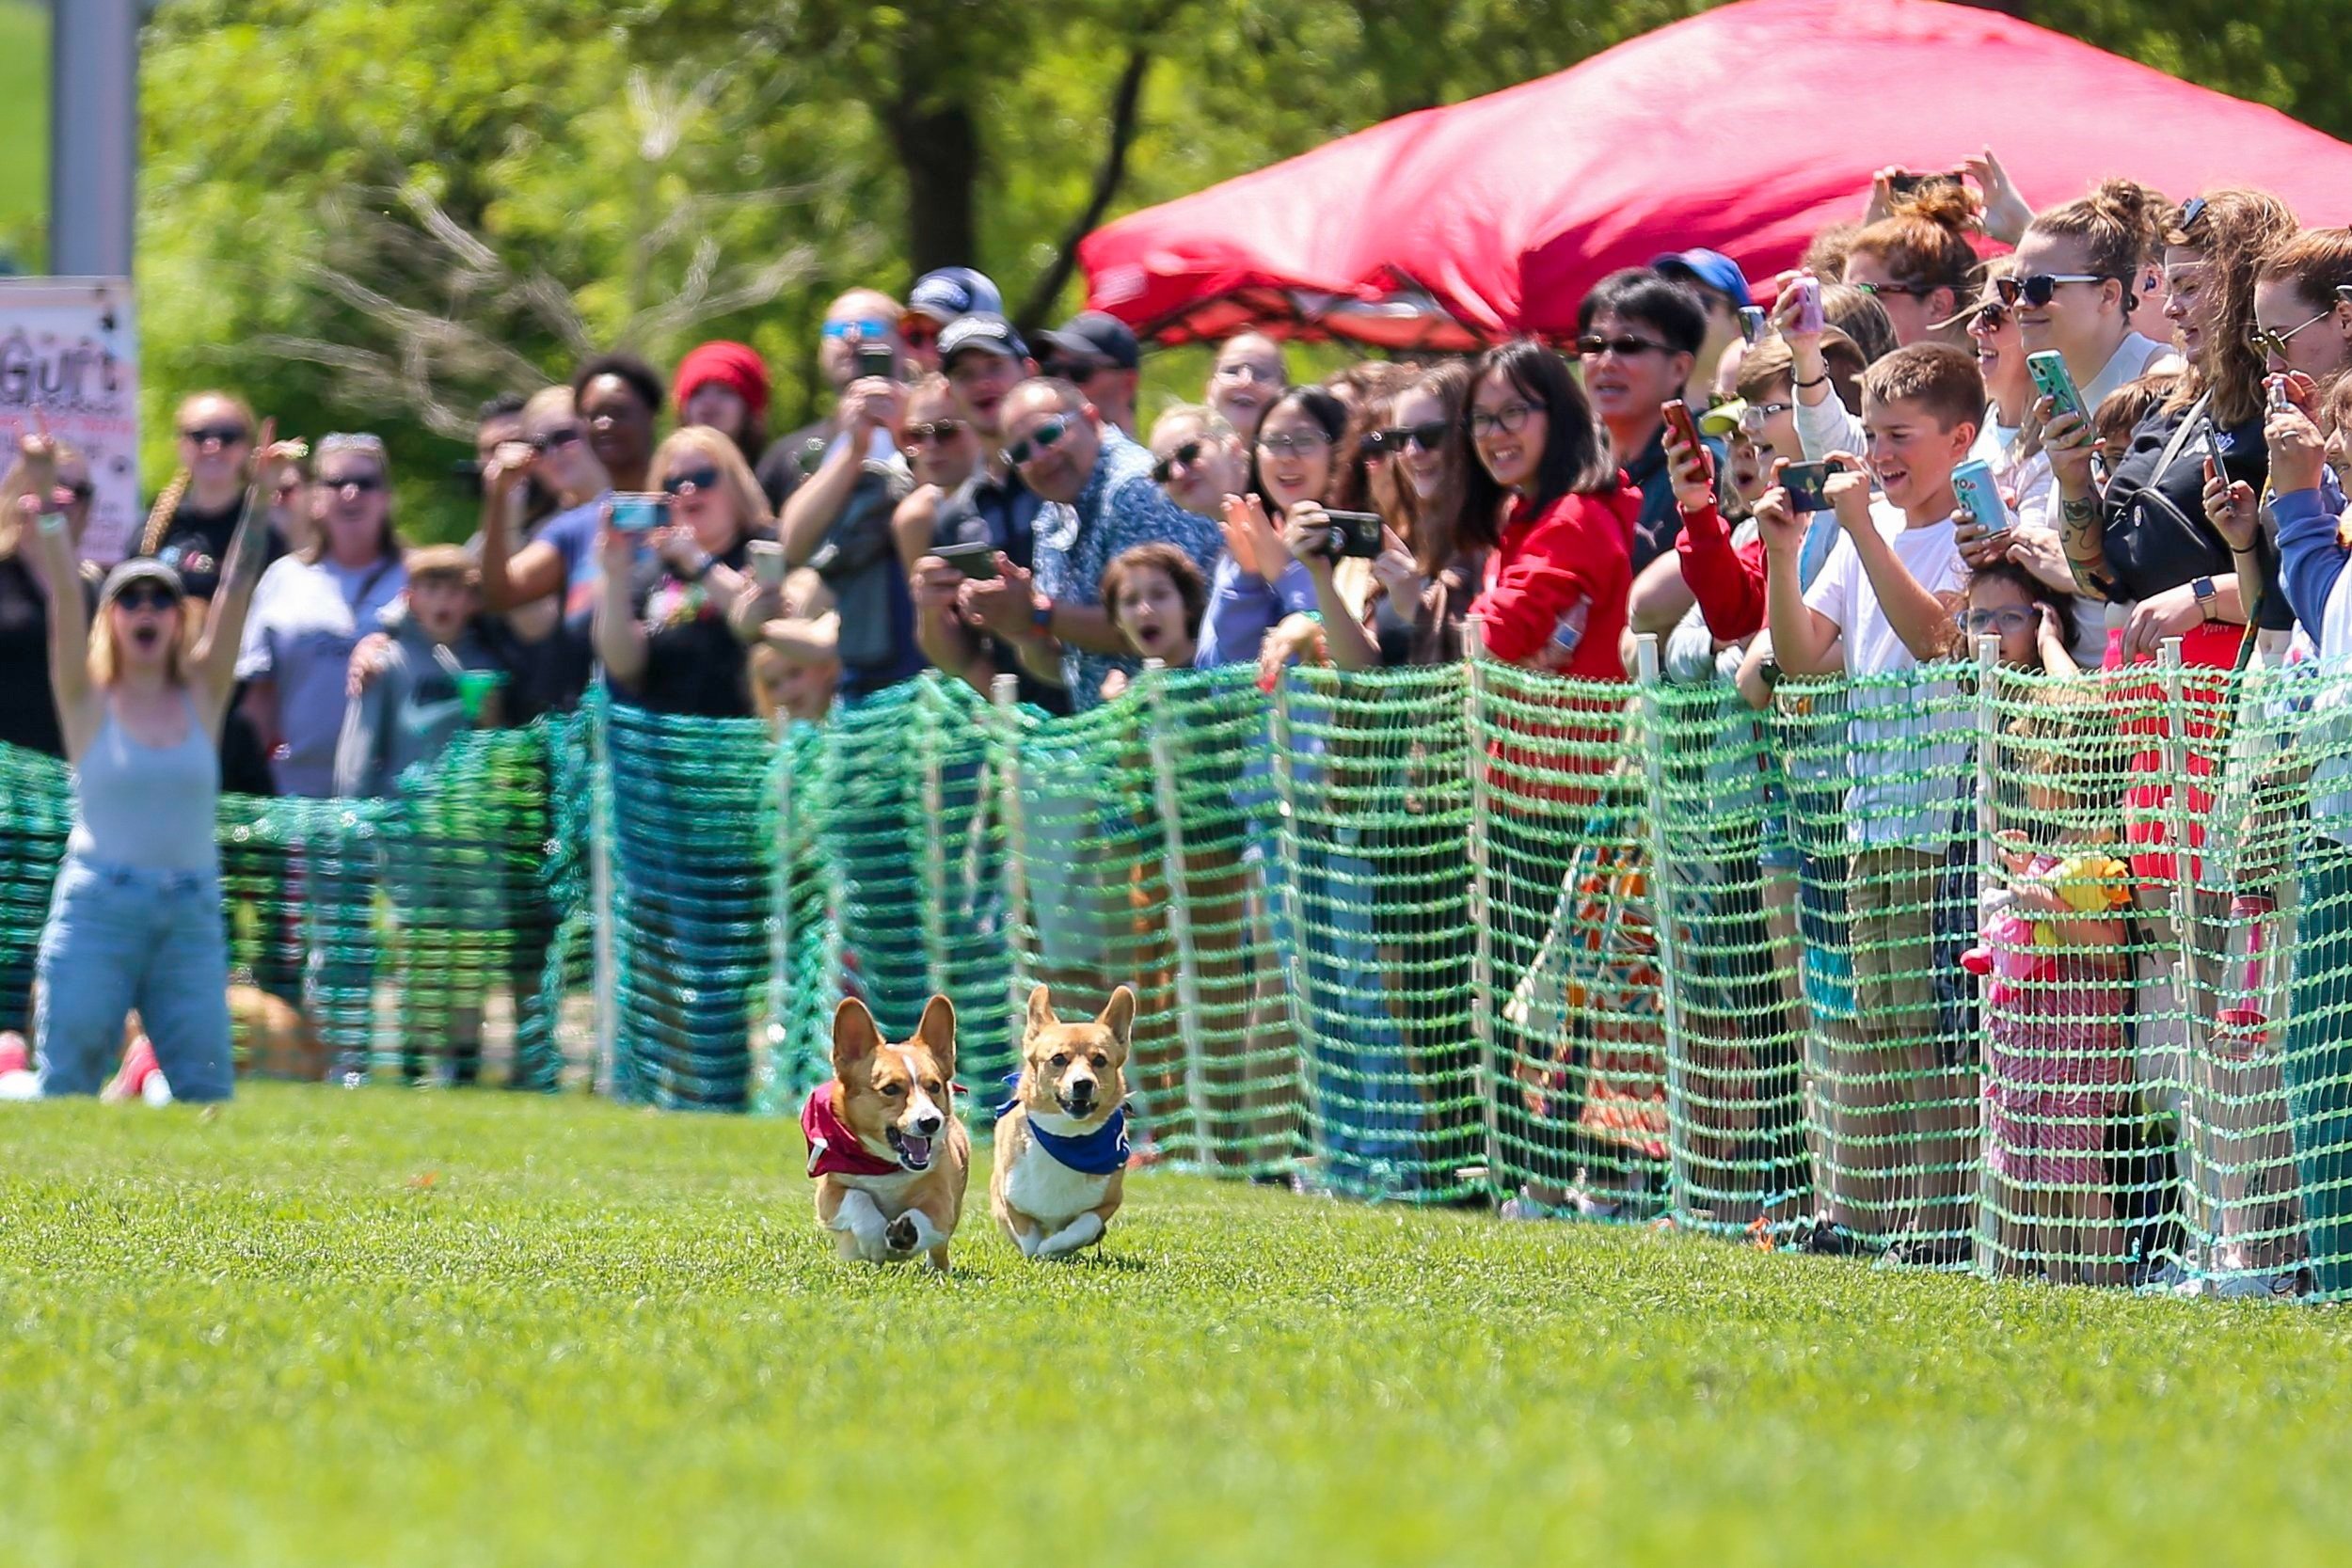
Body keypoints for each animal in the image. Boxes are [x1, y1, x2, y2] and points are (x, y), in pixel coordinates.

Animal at [800, 1001, 964, 1269]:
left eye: (935, 1086)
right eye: (890, 1089)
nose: (931, 1122)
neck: (886, 1167)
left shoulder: (941, 1200)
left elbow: (924, 1215)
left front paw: (905, 1233)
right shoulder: (830, 1193)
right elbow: (858, 1199)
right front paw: (875, 1242)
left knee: (939, 1249)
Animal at [993, 982, 1138, 1259]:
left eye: (1100, 1060)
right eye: (1058, 1059)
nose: (1083, 1084)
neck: (1067, 1138)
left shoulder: (1109, 1201)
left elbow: (1083, 1227)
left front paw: (1052, 1248)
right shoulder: (1009, 1200)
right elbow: (1029, 1238)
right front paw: (1039, 1252)